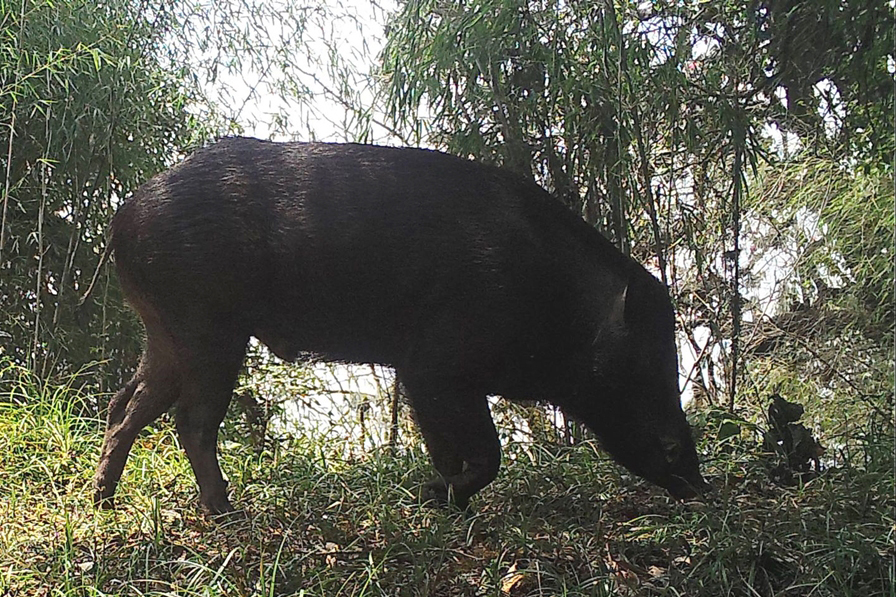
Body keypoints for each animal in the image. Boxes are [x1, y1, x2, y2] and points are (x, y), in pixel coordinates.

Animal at [92, 137, 708, 514]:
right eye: (643, 366)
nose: (702, 487)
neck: (552, 299)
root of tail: (122, 219)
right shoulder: (436, 362)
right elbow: (487, 453)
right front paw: (432, 493)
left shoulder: (425, 376)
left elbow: (447, 446)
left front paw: (446, 505)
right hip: (208, 328)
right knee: (189, 420)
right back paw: (227, 513)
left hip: (166, 332)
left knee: (126, 404)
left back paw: (105, 499)